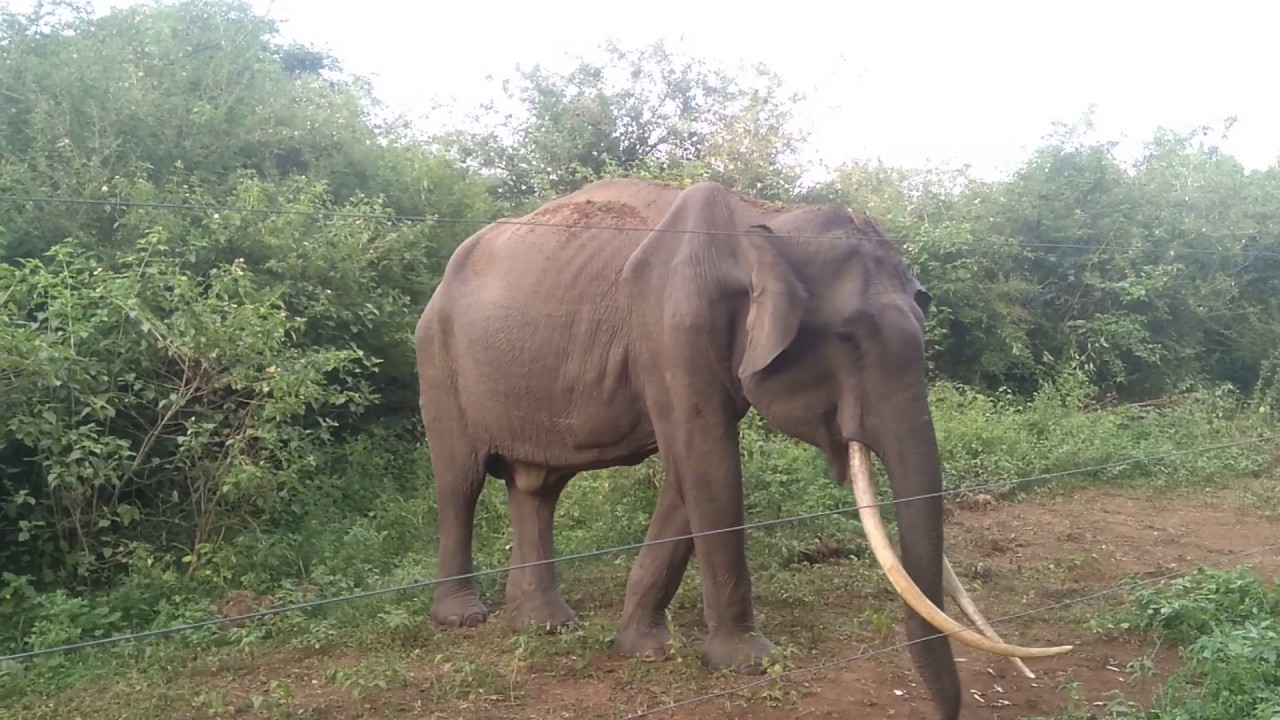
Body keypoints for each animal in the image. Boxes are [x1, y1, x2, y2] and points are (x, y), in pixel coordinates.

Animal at [414, 178, 1070, 719]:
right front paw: (748, 662)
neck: (764, 219)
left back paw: (547, 626)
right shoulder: (671, 324)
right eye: (848, 338)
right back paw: (465, 618)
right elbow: (707, 459)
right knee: (459, 481)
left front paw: (644, 649)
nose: (947, 711)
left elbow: (690, 472)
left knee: (537, 486)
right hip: (437, 355)